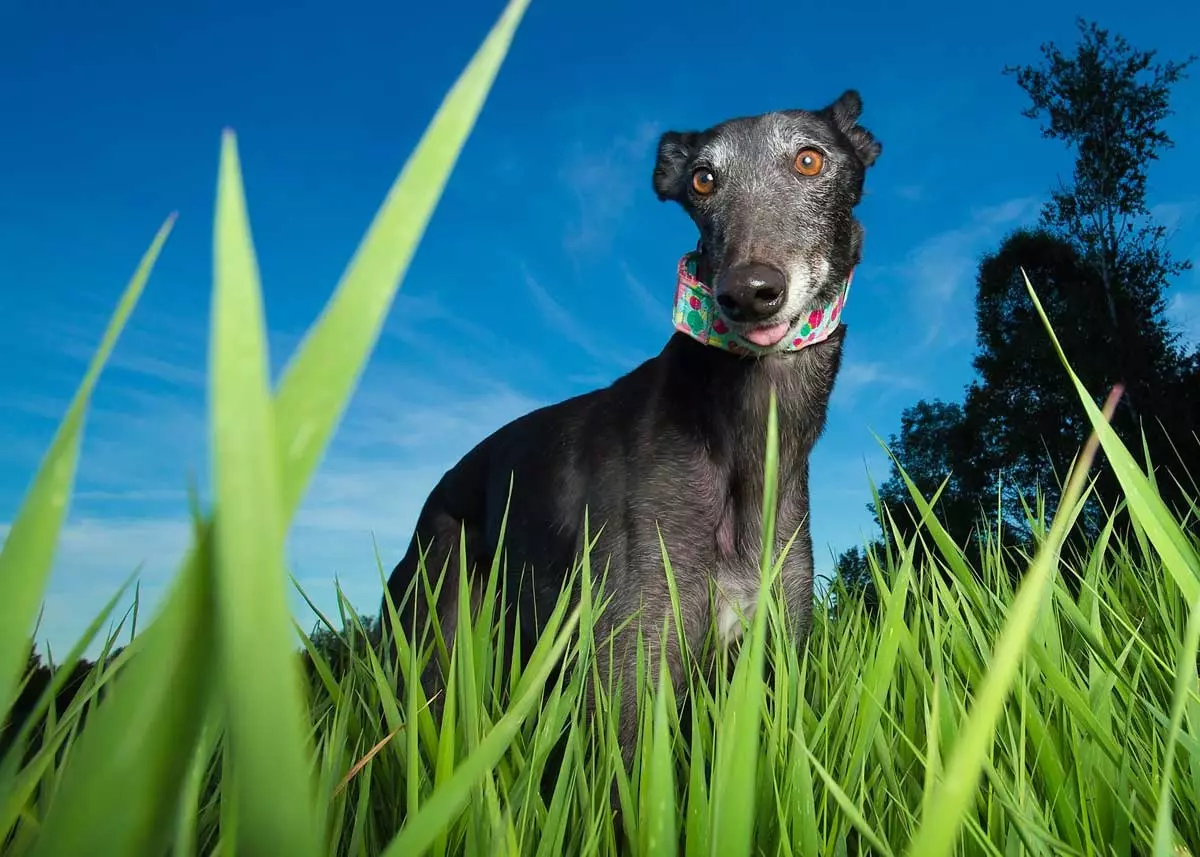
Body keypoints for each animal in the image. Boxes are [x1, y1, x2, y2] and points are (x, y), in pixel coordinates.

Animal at [384, 90, 883, 763]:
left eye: (810, 160)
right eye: (703, 179)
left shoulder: (772, 661)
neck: (743, 433)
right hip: (435, 637)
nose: (749, 292)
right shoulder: (631, 681)